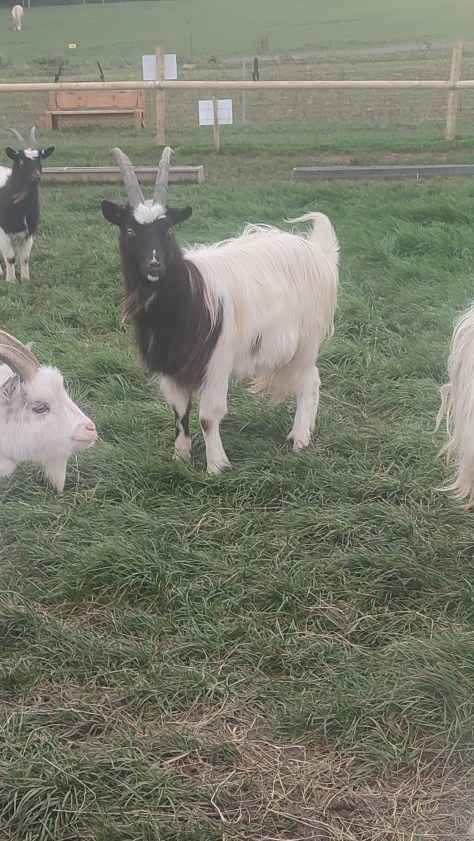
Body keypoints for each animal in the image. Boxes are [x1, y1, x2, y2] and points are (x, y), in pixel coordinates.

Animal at [0, 127, 54, 282]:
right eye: (22, 161)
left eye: (40, 159)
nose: (36, 176)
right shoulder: (3, 231)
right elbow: (10, 258)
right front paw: (11, 280)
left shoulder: (29, 232)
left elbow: (25, 258)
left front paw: (25, 279)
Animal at [101, 147, 339, 473]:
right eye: (128, 229)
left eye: (169, 228)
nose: (155, 264)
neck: (188, 298)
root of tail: (317, 250)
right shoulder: (169, 367)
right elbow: (180, 412)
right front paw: (180, 455)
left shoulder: (216, 363)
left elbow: (208, 417)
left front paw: (216, 465)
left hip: (307, 338)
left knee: (309, 380)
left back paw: (301, 438)